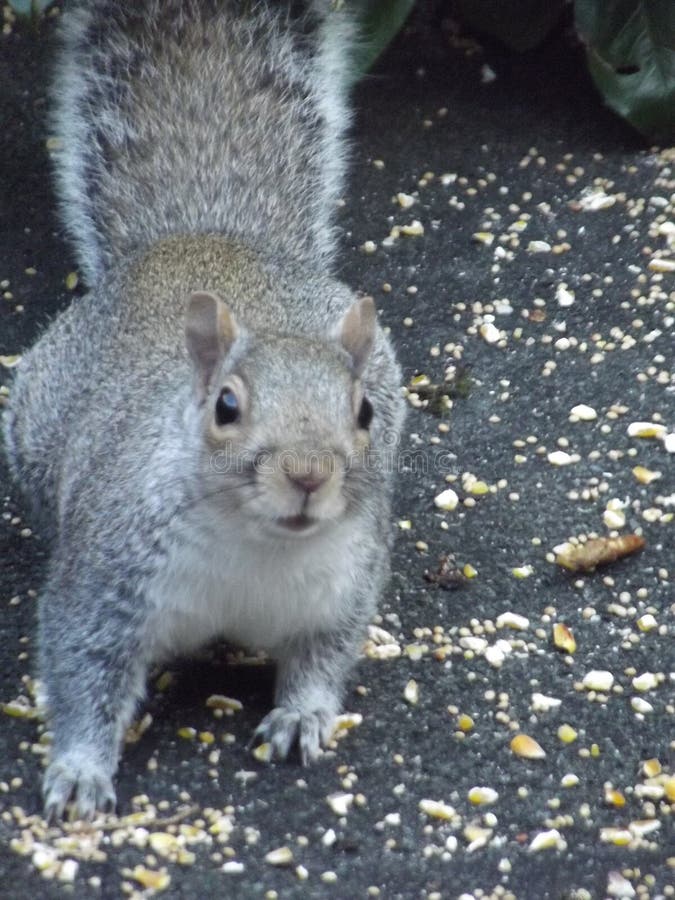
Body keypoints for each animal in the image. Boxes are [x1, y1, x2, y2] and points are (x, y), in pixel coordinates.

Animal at [3, 0, 404, 820]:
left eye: (365, 413)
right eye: (225, 406)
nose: (308, 475)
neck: (257, 547)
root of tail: (197, 236)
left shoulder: (345, 587)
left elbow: (324, 657)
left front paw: (301, 716)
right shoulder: (105, 580)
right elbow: (81, 667)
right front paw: (80, 771)